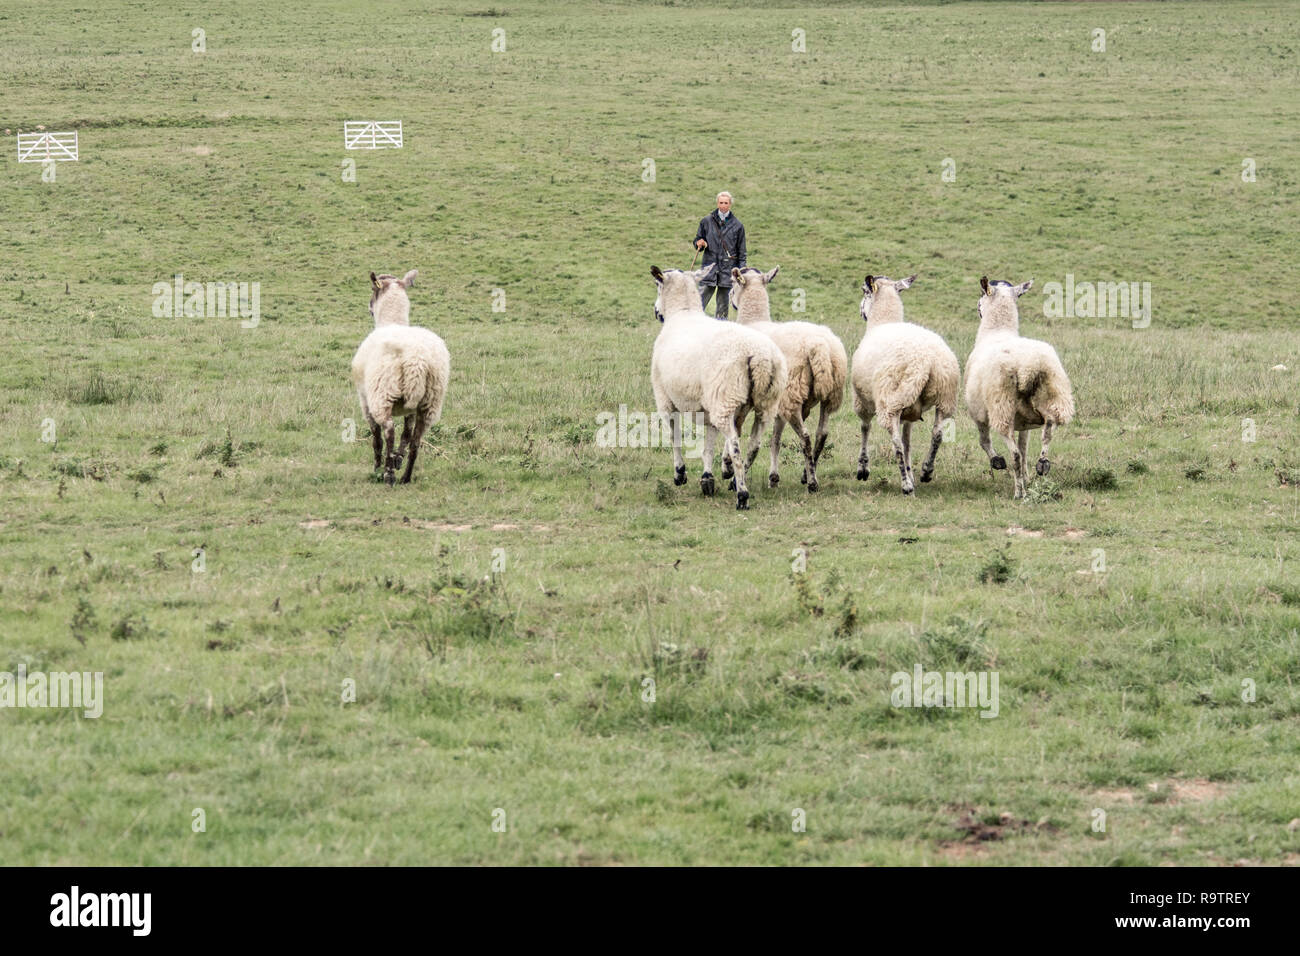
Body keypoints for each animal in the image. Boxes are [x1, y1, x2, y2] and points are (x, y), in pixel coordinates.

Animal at [350, 269, 451, 485]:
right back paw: (405, 476)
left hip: (382, 393)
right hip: (429, 401)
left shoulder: (365, 400)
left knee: (388, 430)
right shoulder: (410, 408)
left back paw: (388, 474)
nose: (369, 308)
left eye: (372, 289)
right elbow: (405, 434)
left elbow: (376, 438)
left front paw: (379, 466)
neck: (393, 320)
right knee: (416, 440)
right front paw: (398, 458)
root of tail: (416, 360)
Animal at [650, 264, 788, 510]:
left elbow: (674, 437)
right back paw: (735, 480)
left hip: (725, 400)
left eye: (658, 285)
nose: (656, 312)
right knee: (754, 445)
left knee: (735, 447)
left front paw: (680, 473)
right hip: (764, 402)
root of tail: (760, 356)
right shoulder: (709, 406)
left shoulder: (665, 399)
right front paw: (707, 479)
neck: (683, 312)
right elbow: (709, 445)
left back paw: (742, 494)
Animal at [727, 266, 847, 492]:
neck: (755, 320)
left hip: (792, 395)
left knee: (806, 437)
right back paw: (807, 473)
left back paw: (812, 482)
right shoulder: (776, 405)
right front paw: (773, 477)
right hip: (829, 395)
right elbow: (775, 438)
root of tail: (819, 346)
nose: (730, 298)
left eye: (732, 286)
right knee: (821, 434)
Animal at [850, 274, 961, 495]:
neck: (882, 321)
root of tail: (925, 360)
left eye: (864, 291)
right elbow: (909, 440)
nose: (861, 311)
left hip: (891, 400)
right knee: (937, 435)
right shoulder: (911, 410)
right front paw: (912, 471)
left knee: (896, 443)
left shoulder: (862, 400)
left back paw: (906, 485)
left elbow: (865, 428)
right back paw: (926, 470)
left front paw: (863, 468)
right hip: (944, 397)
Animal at [965, 276, 1075, 499]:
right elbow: (1024, 449)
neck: (998, 331)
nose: (978, 308)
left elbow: (984, 441)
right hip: (1053, 396)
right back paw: (1042, 464)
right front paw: (1026, 476)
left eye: (980, 300)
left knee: (1014, 454)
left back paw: (1018, 492)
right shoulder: (1024, 423)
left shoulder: (978, 413)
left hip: (1002, 408)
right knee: (1049, 429)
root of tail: (1028, 367)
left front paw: (997, 462)